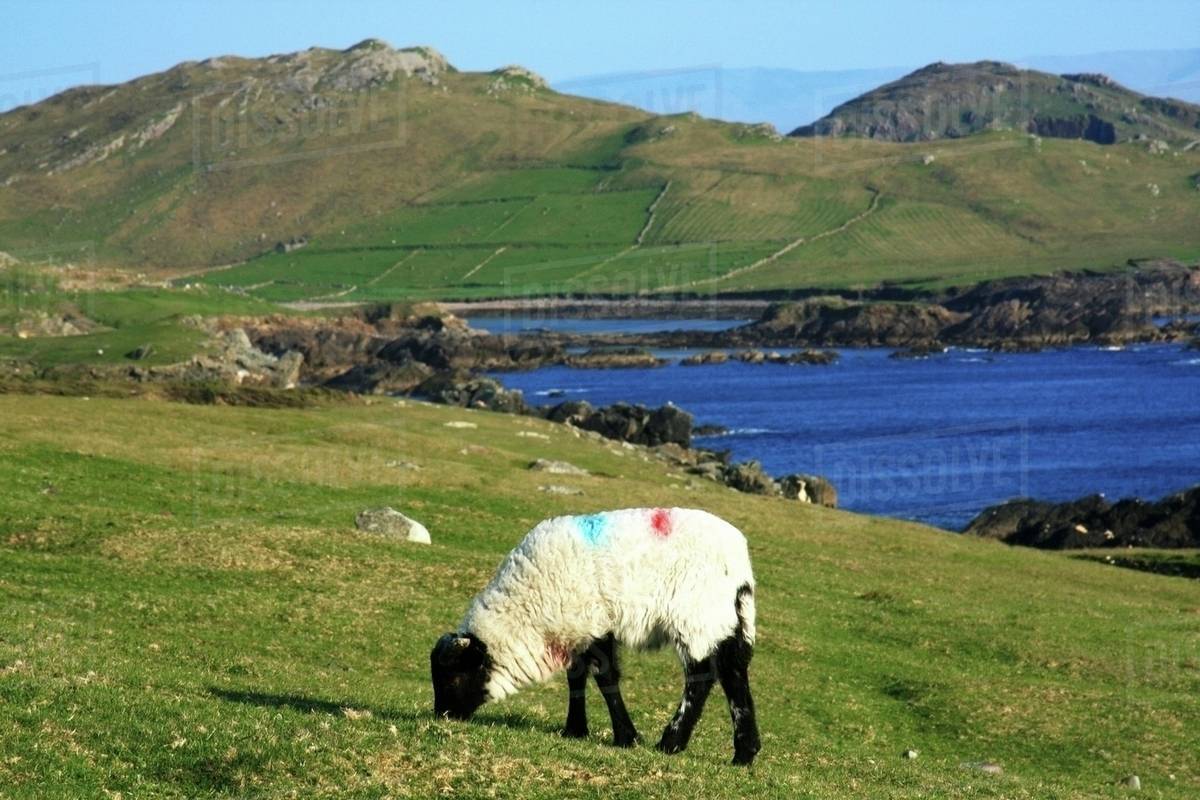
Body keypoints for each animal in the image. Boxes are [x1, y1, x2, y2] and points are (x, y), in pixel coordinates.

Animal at [430, 506, 761, 765]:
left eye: (453, 677)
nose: (442, 716)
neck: (526, 612)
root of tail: (739, 562)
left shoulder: (594, 622)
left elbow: (605, 676)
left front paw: (626, 737)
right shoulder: (575, 629)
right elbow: (576, 677)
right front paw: (575, 729)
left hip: (695, 614)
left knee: (701, 677)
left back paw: (671, 742)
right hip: (731, 617)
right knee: (734, 671)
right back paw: (744, 752)